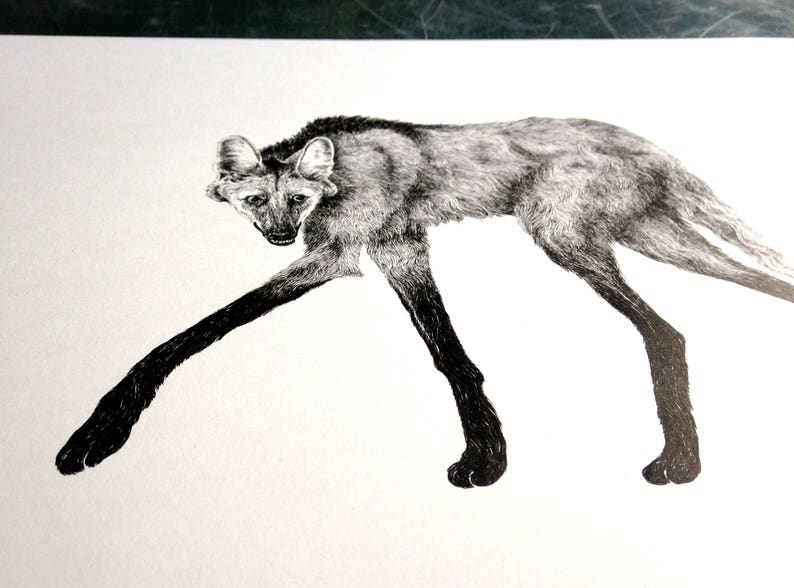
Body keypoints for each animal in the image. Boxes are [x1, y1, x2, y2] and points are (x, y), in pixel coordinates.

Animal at [56, 116, 794, 487]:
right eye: (255, 200)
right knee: (752, 290)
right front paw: (488, 454)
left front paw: (100, 429)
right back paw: (684, 457)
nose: (280, 235)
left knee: (665, 331)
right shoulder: (398, 248)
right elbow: (453, 359)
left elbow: (189, 333)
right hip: (649, 237)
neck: (340, 172)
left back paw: (680, 464)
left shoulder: (340, 255)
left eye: (297, 199)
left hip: (564, 237)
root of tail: (656, 146)